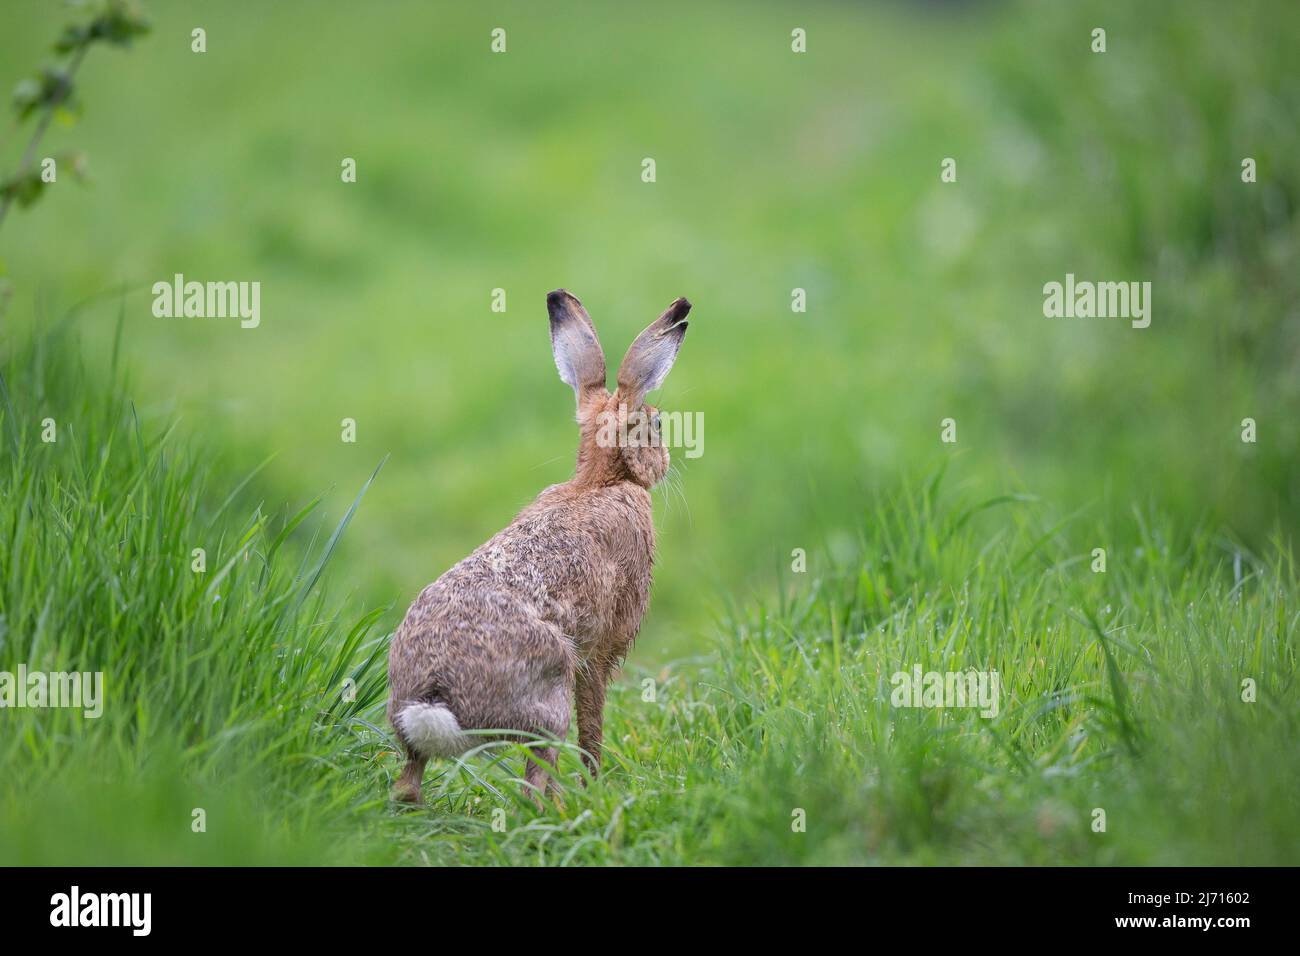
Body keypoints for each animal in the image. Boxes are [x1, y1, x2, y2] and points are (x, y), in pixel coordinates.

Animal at [387, 289, 690, 805]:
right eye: (657, 426)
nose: (666, 462)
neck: (601, 480)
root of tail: (435, 697)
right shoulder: (600, 650)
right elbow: (593, 723)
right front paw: (594, 786)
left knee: (408, 784)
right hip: (550, 700)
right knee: (534, 779)